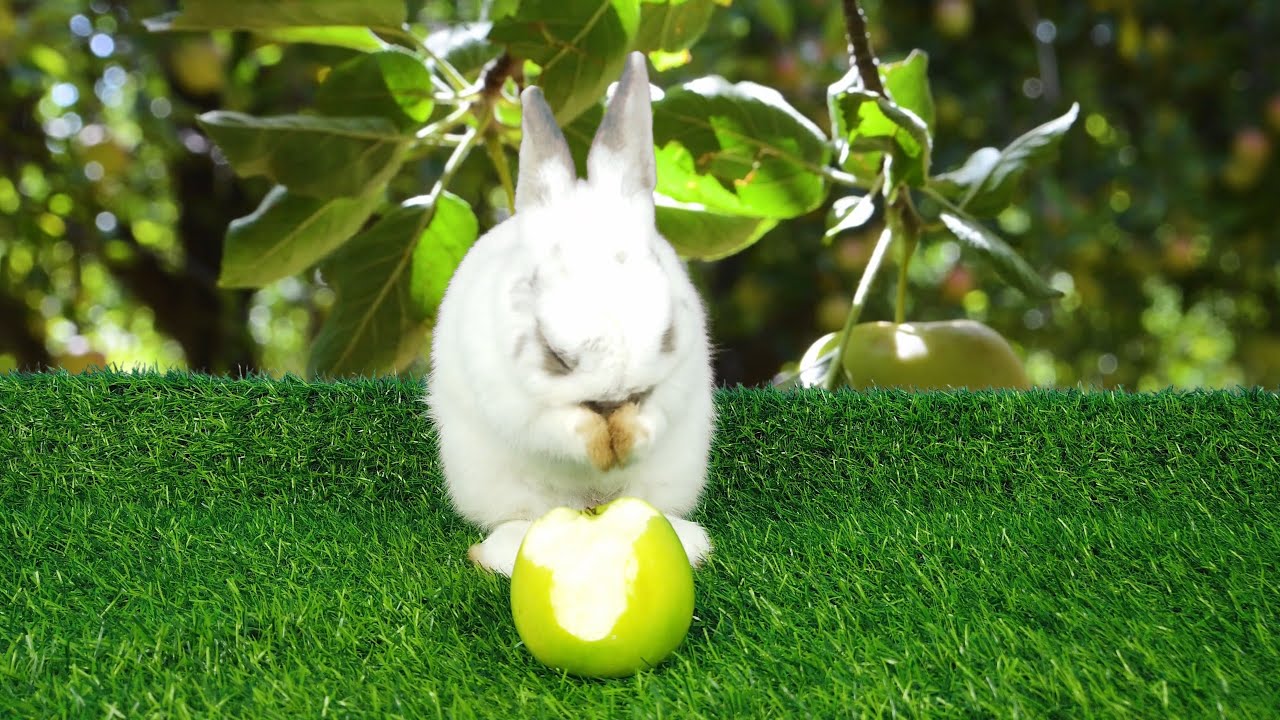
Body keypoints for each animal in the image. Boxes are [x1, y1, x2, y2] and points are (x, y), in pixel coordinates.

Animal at [426, 52, 716, 577]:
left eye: (666, 333)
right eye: (553, 352)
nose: (615, 397)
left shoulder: (678, 385)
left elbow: (657, 415)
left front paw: (627, 434)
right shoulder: (517, 405)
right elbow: (555, 427)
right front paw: (599, 440)